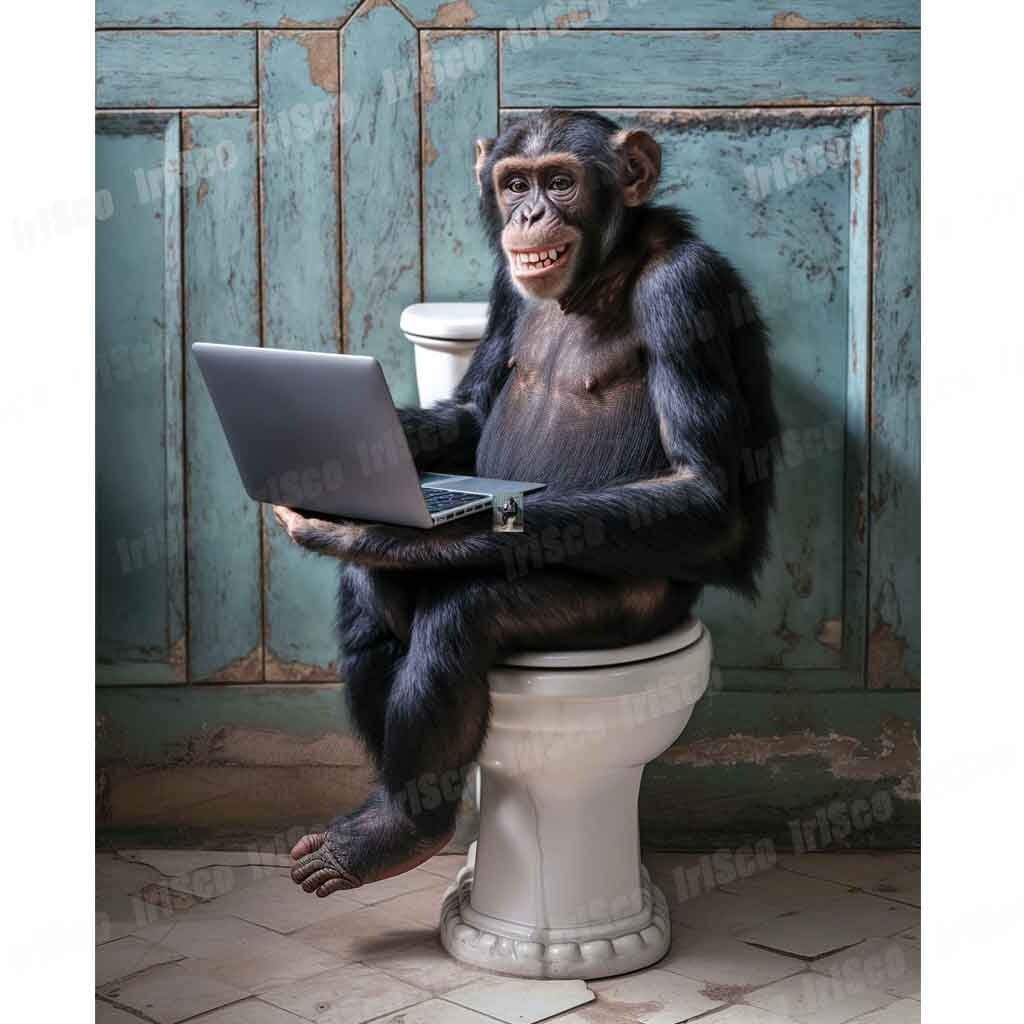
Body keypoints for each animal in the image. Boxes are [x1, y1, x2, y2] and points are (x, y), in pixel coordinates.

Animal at [273, 109, 780, 897]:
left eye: (561, 181)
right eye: (515, 184)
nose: (530, 214)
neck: (602, 273)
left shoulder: (684, 294)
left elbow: (704, 491)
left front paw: (406, 536)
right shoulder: (503, 294)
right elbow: (476, 411)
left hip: (625, 614)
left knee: (457, 619)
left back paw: (401, 830)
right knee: (370, 603)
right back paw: (386, 812)